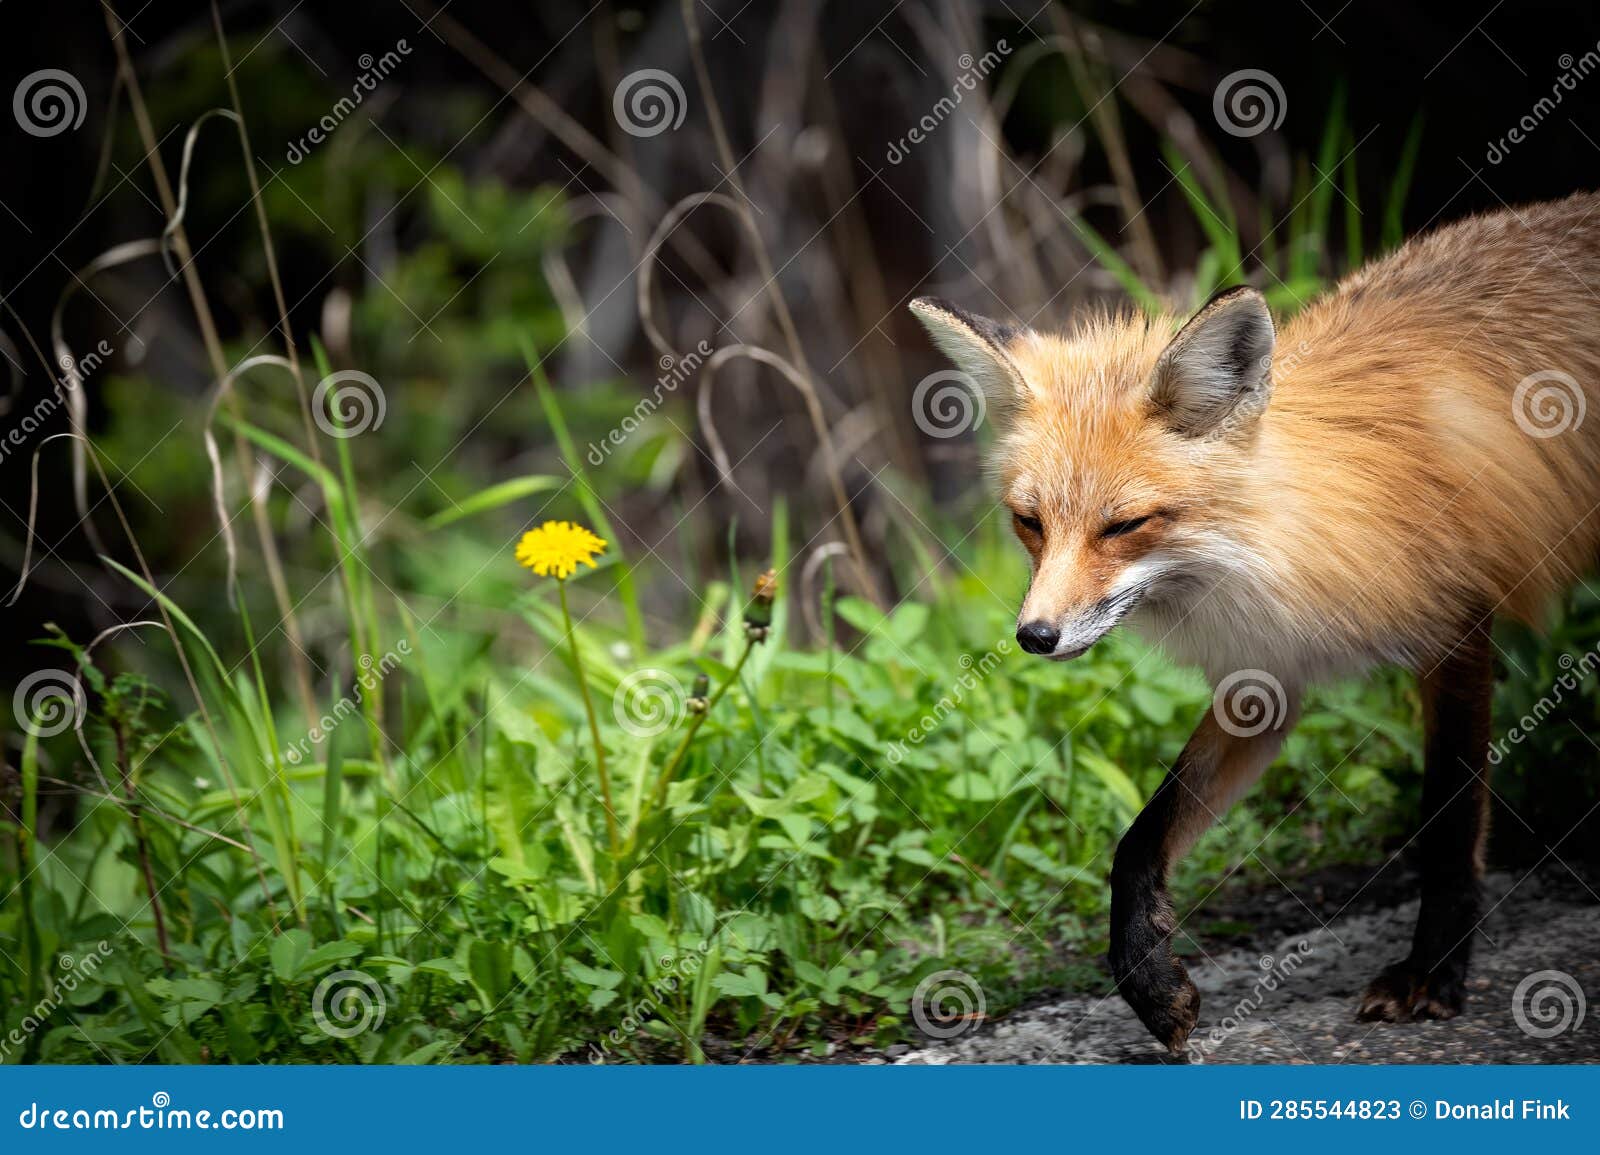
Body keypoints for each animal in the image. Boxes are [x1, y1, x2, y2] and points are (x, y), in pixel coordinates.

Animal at [911, 190, 1600, 1054]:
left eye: (1123, 525)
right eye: (1029, 522)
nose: (1035, 636)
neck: (1272, 545)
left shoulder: (1457, 628)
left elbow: (1447, 822)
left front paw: (1432, 972)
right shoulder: (1264, 681)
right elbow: (1142, 837)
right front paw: (1150, 983)